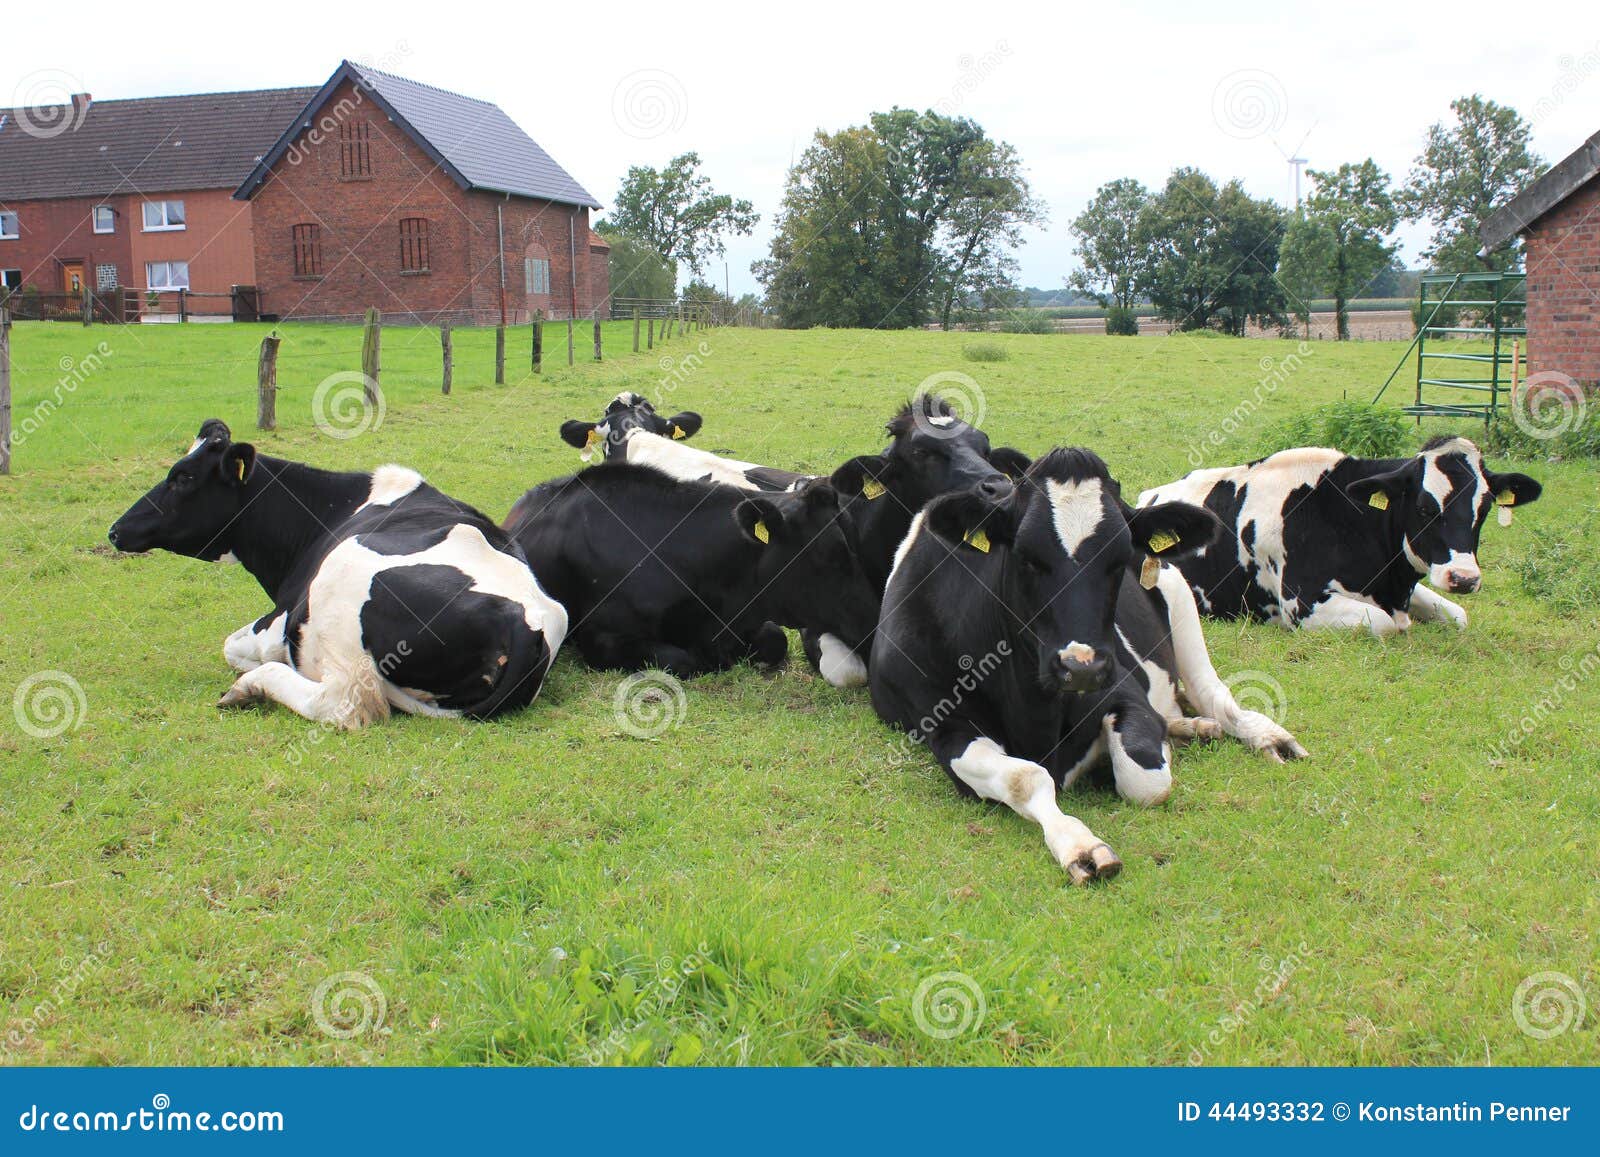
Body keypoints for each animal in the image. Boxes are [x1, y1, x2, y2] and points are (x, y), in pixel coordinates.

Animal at [107, 420, 566, 728]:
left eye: (183, 477)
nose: (115, 530)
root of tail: (526, 622)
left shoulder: (281, 620)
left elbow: (233, 647)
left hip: (341, 592)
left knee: (340, 702)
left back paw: (249, 688)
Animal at [870, 448, 1306, 882]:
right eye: (1026, 557)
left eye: (1119, 558)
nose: (1080, 668)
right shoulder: (945, 726)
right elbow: (1025, 777)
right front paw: (1080, 846)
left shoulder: (1123, 691)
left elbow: (1146, 781)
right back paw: (1191, 729)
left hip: (1180, 597)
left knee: (1211, 694)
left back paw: (1261, 736)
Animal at [1138, 435, 1544, 635]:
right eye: (1425, 508)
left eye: (1484, 509)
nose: (1463, 578)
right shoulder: (1301, 605)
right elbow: (1385, 625)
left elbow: (1458, 616)